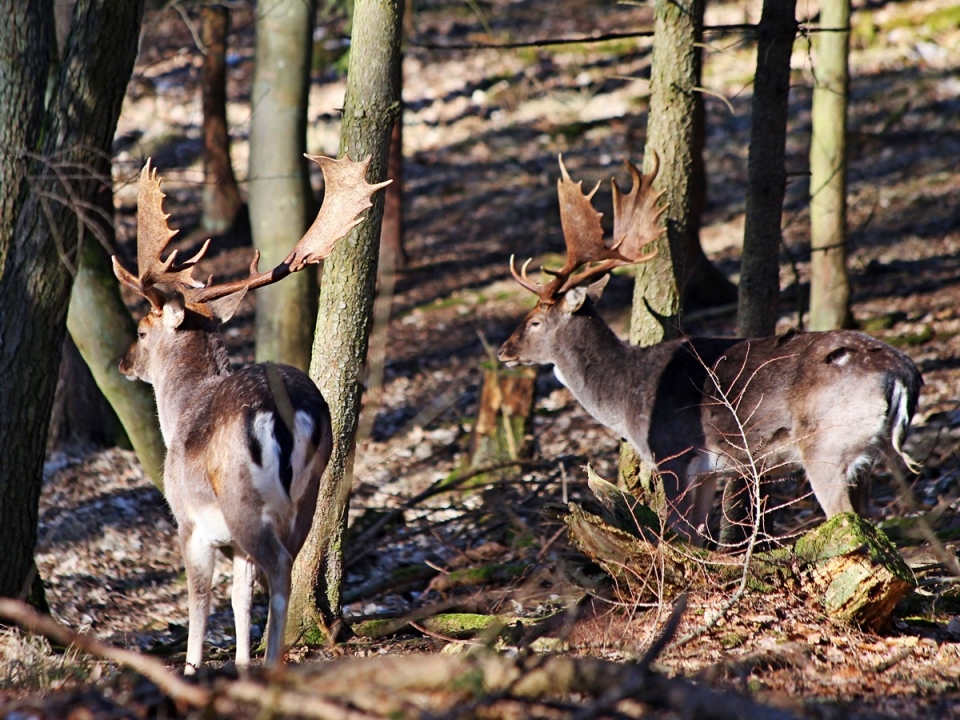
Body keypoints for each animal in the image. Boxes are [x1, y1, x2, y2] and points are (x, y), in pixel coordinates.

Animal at [112, 155, 389, 672]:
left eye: (140, 331)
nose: (123, 362)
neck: (179, 413)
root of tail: (289, 414)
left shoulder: (190, 521)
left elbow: (199, 600)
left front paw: (193, 668)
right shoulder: (233, 542)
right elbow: (239, 596)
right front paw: (239, 663)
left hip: (239, 495)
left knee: (277, 568)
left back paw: (273, 663)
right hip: (306, 494)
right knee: (287, 564)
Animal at [497, 153, 922, 546]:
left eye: (534, 321)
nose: (504, 350)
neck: (626, 395)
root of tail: (903, 373)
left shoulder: (672, 453)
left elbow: (678, 533)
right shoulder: (707, 471)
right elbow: (699, 536)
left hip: (827, 445)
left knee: (846, 518)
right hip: (866, 453)